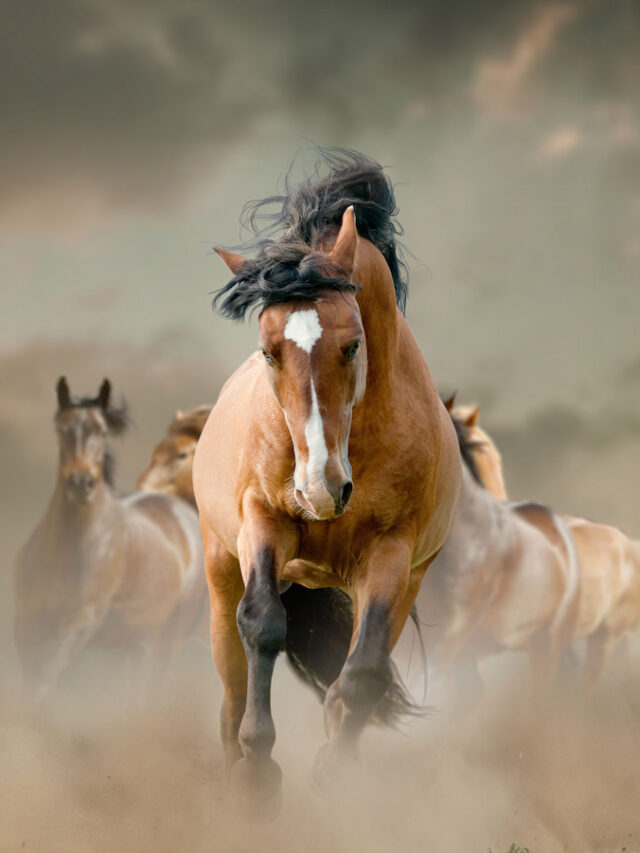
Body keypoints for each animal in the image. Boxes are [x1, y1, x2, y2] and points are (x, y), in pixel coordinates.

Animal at [14, 377, 206, 707]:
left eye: (102, 431)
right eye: (62, 428)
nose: (81, 482)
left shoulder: (81, 622)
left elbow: (45, 679)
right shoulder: (26, 626)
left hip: (168, 642)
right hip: (140, 644)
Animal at [193, 149, 462, 810]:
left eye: (352, 344)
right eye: (268, 351)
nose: (320, 489)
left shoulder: (391, 554)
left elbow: (362, 673)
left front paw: (332, 770)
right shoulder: (262, 524)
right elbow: (263, 625)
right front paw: (259, 771)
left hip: (405, 581)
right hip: (220, 571)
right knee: (232, 682)